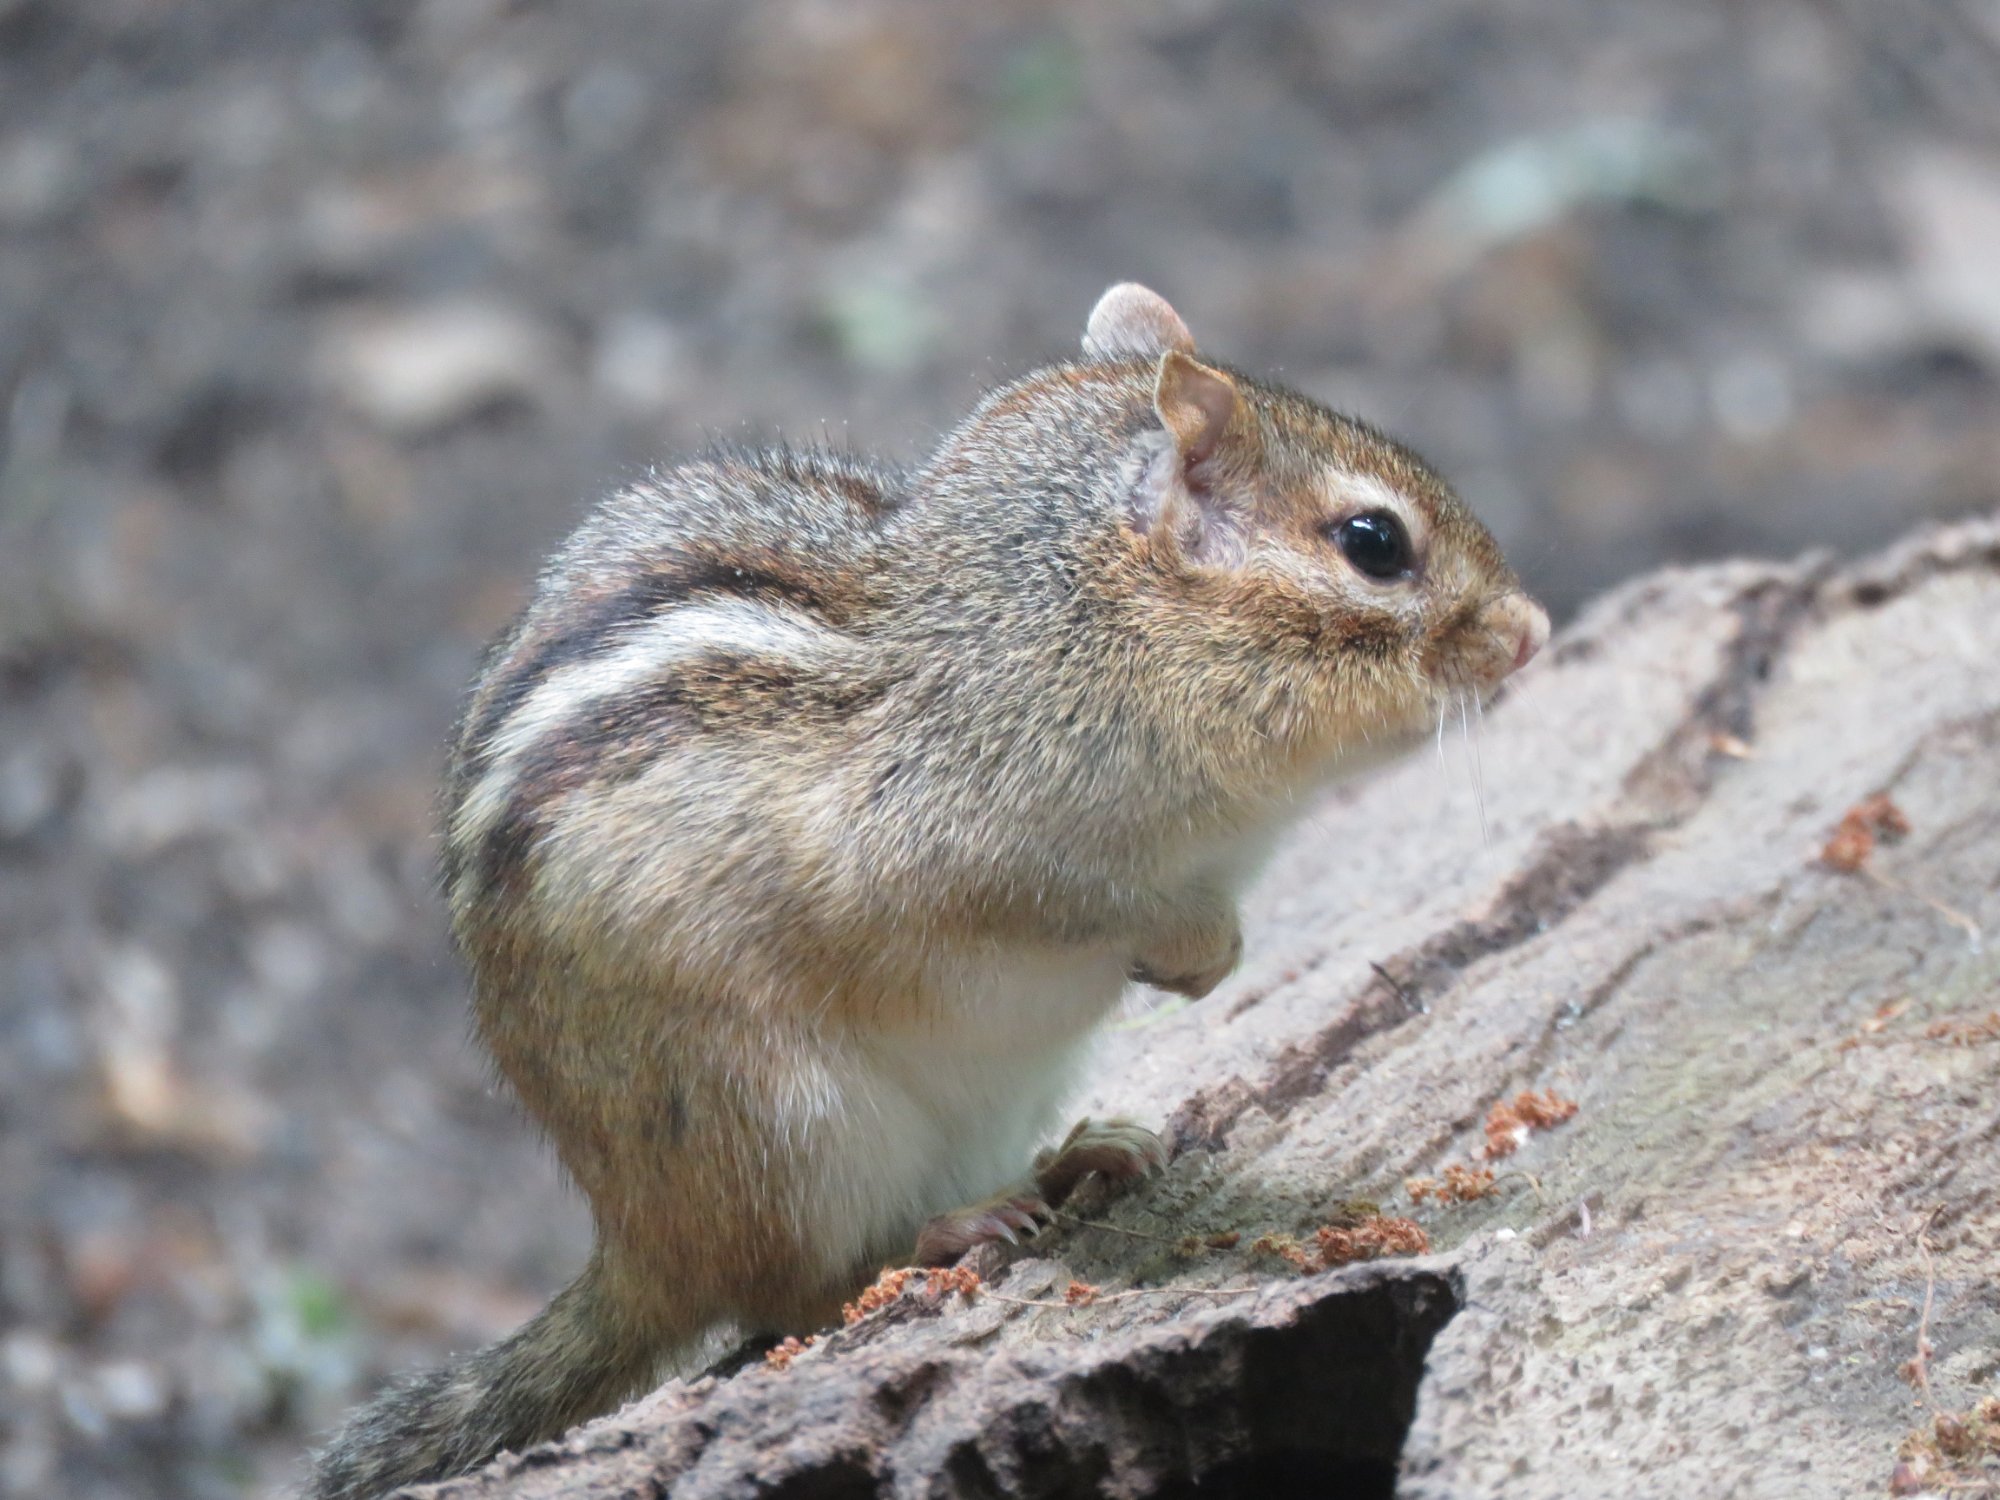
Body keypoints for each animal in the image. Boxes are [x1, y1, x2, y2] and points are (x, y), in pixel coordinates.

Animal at [307, 283, 1548, 1498]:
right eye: (1373, 543)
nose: (1531, 632)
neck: (1084, 623)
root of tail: (637, 1241)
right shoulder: (958, 847)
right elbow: (1073, 906)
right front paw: (1191, 951)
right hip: (785, 1127)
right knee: (792, 1290)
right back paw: (946, 1229)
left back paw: (1075, 1156)